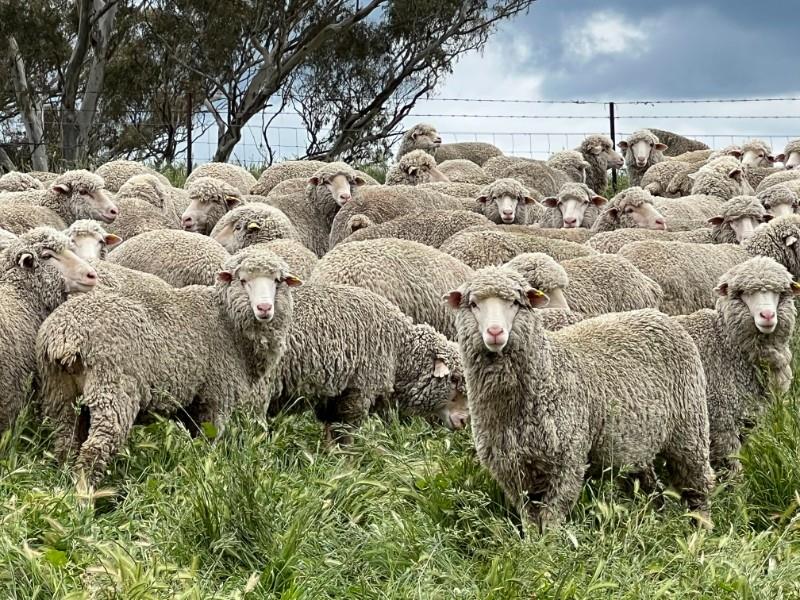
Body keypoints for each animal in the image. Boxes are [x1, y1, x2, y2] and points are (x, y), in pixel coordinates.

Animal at [38, 247, 298, 482]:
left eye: (278, 281)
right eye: (243, 280)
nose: (264, 308)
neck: (226, 322)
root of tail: (67, 334)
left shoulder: (192, 405)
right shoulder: (216, 398)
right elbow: (208, 442)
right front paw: (206, 471)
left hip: (60, 392)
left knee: (66, 440)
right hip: (112, 388)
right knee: (96, 447)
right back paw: (86, 496)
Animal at [270, 282, 467, 441]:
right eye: (454, 379)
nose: (464, 421)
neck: (398, 349)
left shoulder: (334, 395)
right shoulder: (359, 391)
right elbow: (344, 434)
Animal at [446, 266, 713, 530]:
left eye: (515, 302)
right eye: (473, 304)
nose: (495, 332)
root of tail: (660, 316)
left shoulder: (568, 460)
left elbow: (552, 517)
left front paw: (551, 542)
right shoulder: (511, 470)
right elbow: (529, 518)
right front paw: (533, 541)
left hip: (689, 428)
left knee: (698, 482)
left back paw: (702, 528)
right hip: (636, 440)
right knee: (648, 482)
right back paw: (653, 517)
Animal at [674, 257, 798, 472]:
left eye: (779, 292)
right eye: (743, 293)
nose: (767, 315)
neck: (725, 342)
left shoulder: (748, 420)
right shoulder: (722, 423)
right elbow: (732, 466)